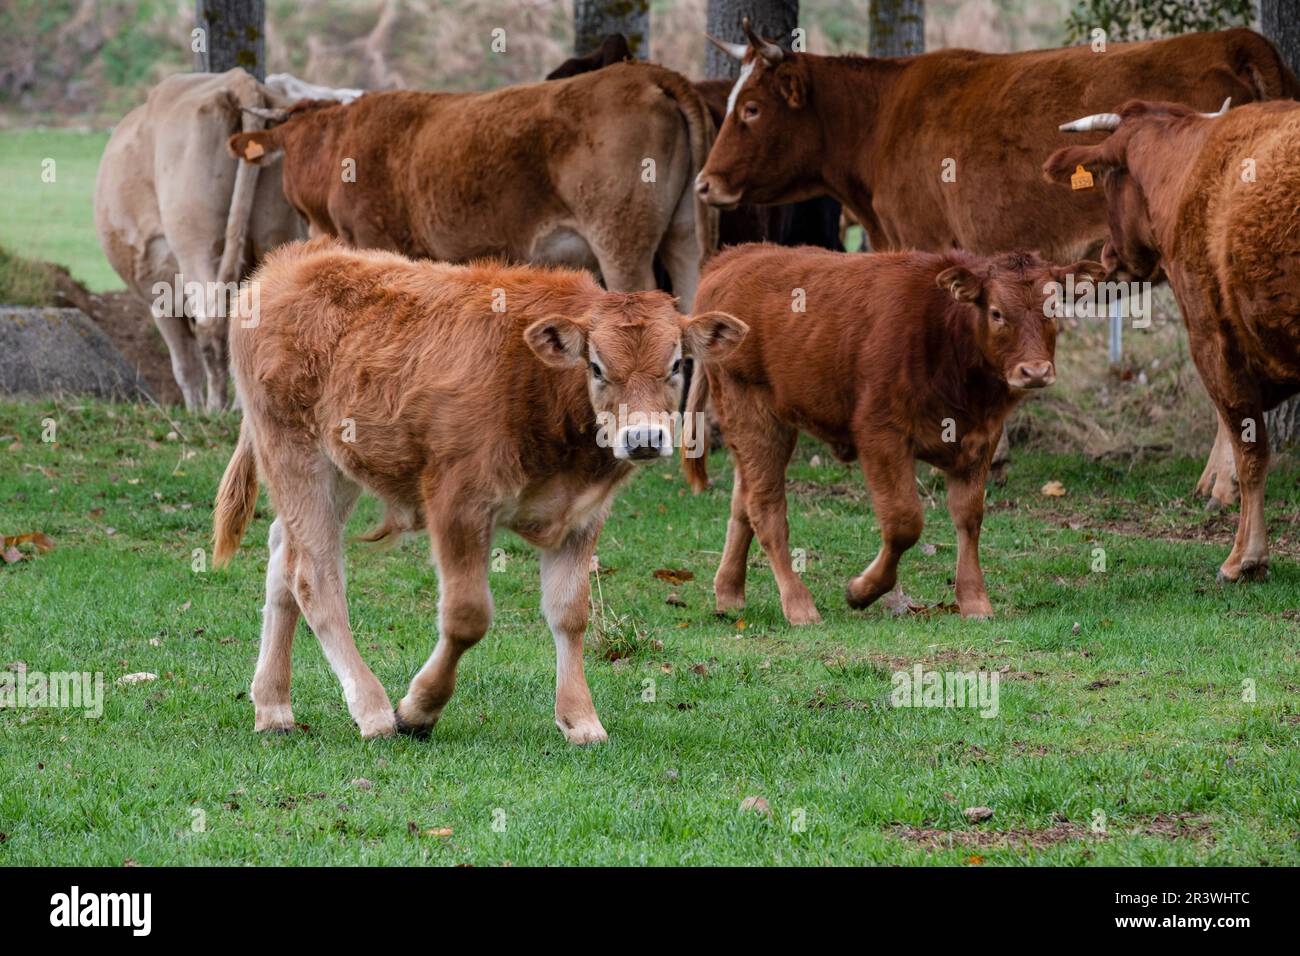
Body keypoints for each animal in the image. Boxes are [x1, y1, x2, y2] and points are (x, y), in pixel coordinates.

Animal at [94, 70, 358, 414]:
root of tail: (237, 80)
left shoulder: (160, 298)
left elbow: (184, 365)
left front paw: (194, 410)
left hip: (195, 246)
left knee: (210, 324)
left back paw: (215, 408)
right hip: (275, 236)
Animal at [211, 238, 746, 741]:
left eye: (677, 364)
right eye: (595, 366)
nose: (643, 438)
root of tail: (291, 261)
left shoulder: (583, 514)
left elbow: (570, 613)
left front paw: (580, 718)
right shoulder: (458, 501)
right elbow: (467, 616)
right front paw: (418, 709)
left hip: (334, 471)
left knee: (284, 560)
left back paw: (273, 707)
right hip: (295, 454)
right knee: (313, 578)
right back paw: (373, 710)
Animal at [684, 244, 1104, 624]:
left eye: (1054, 309)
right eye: (997, 312)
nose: (1035, 371)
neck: (946, 338)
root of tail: (734, 257)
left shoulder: (980, 440)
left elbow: (969, 517)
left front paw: (974, 600)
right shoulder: (880, 434)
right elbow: (904, 522)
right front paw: (861, 590)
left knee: (742, 501)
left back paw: (729, 593)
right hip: (754, 415)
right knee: (766, 509)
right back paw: (799, 605)